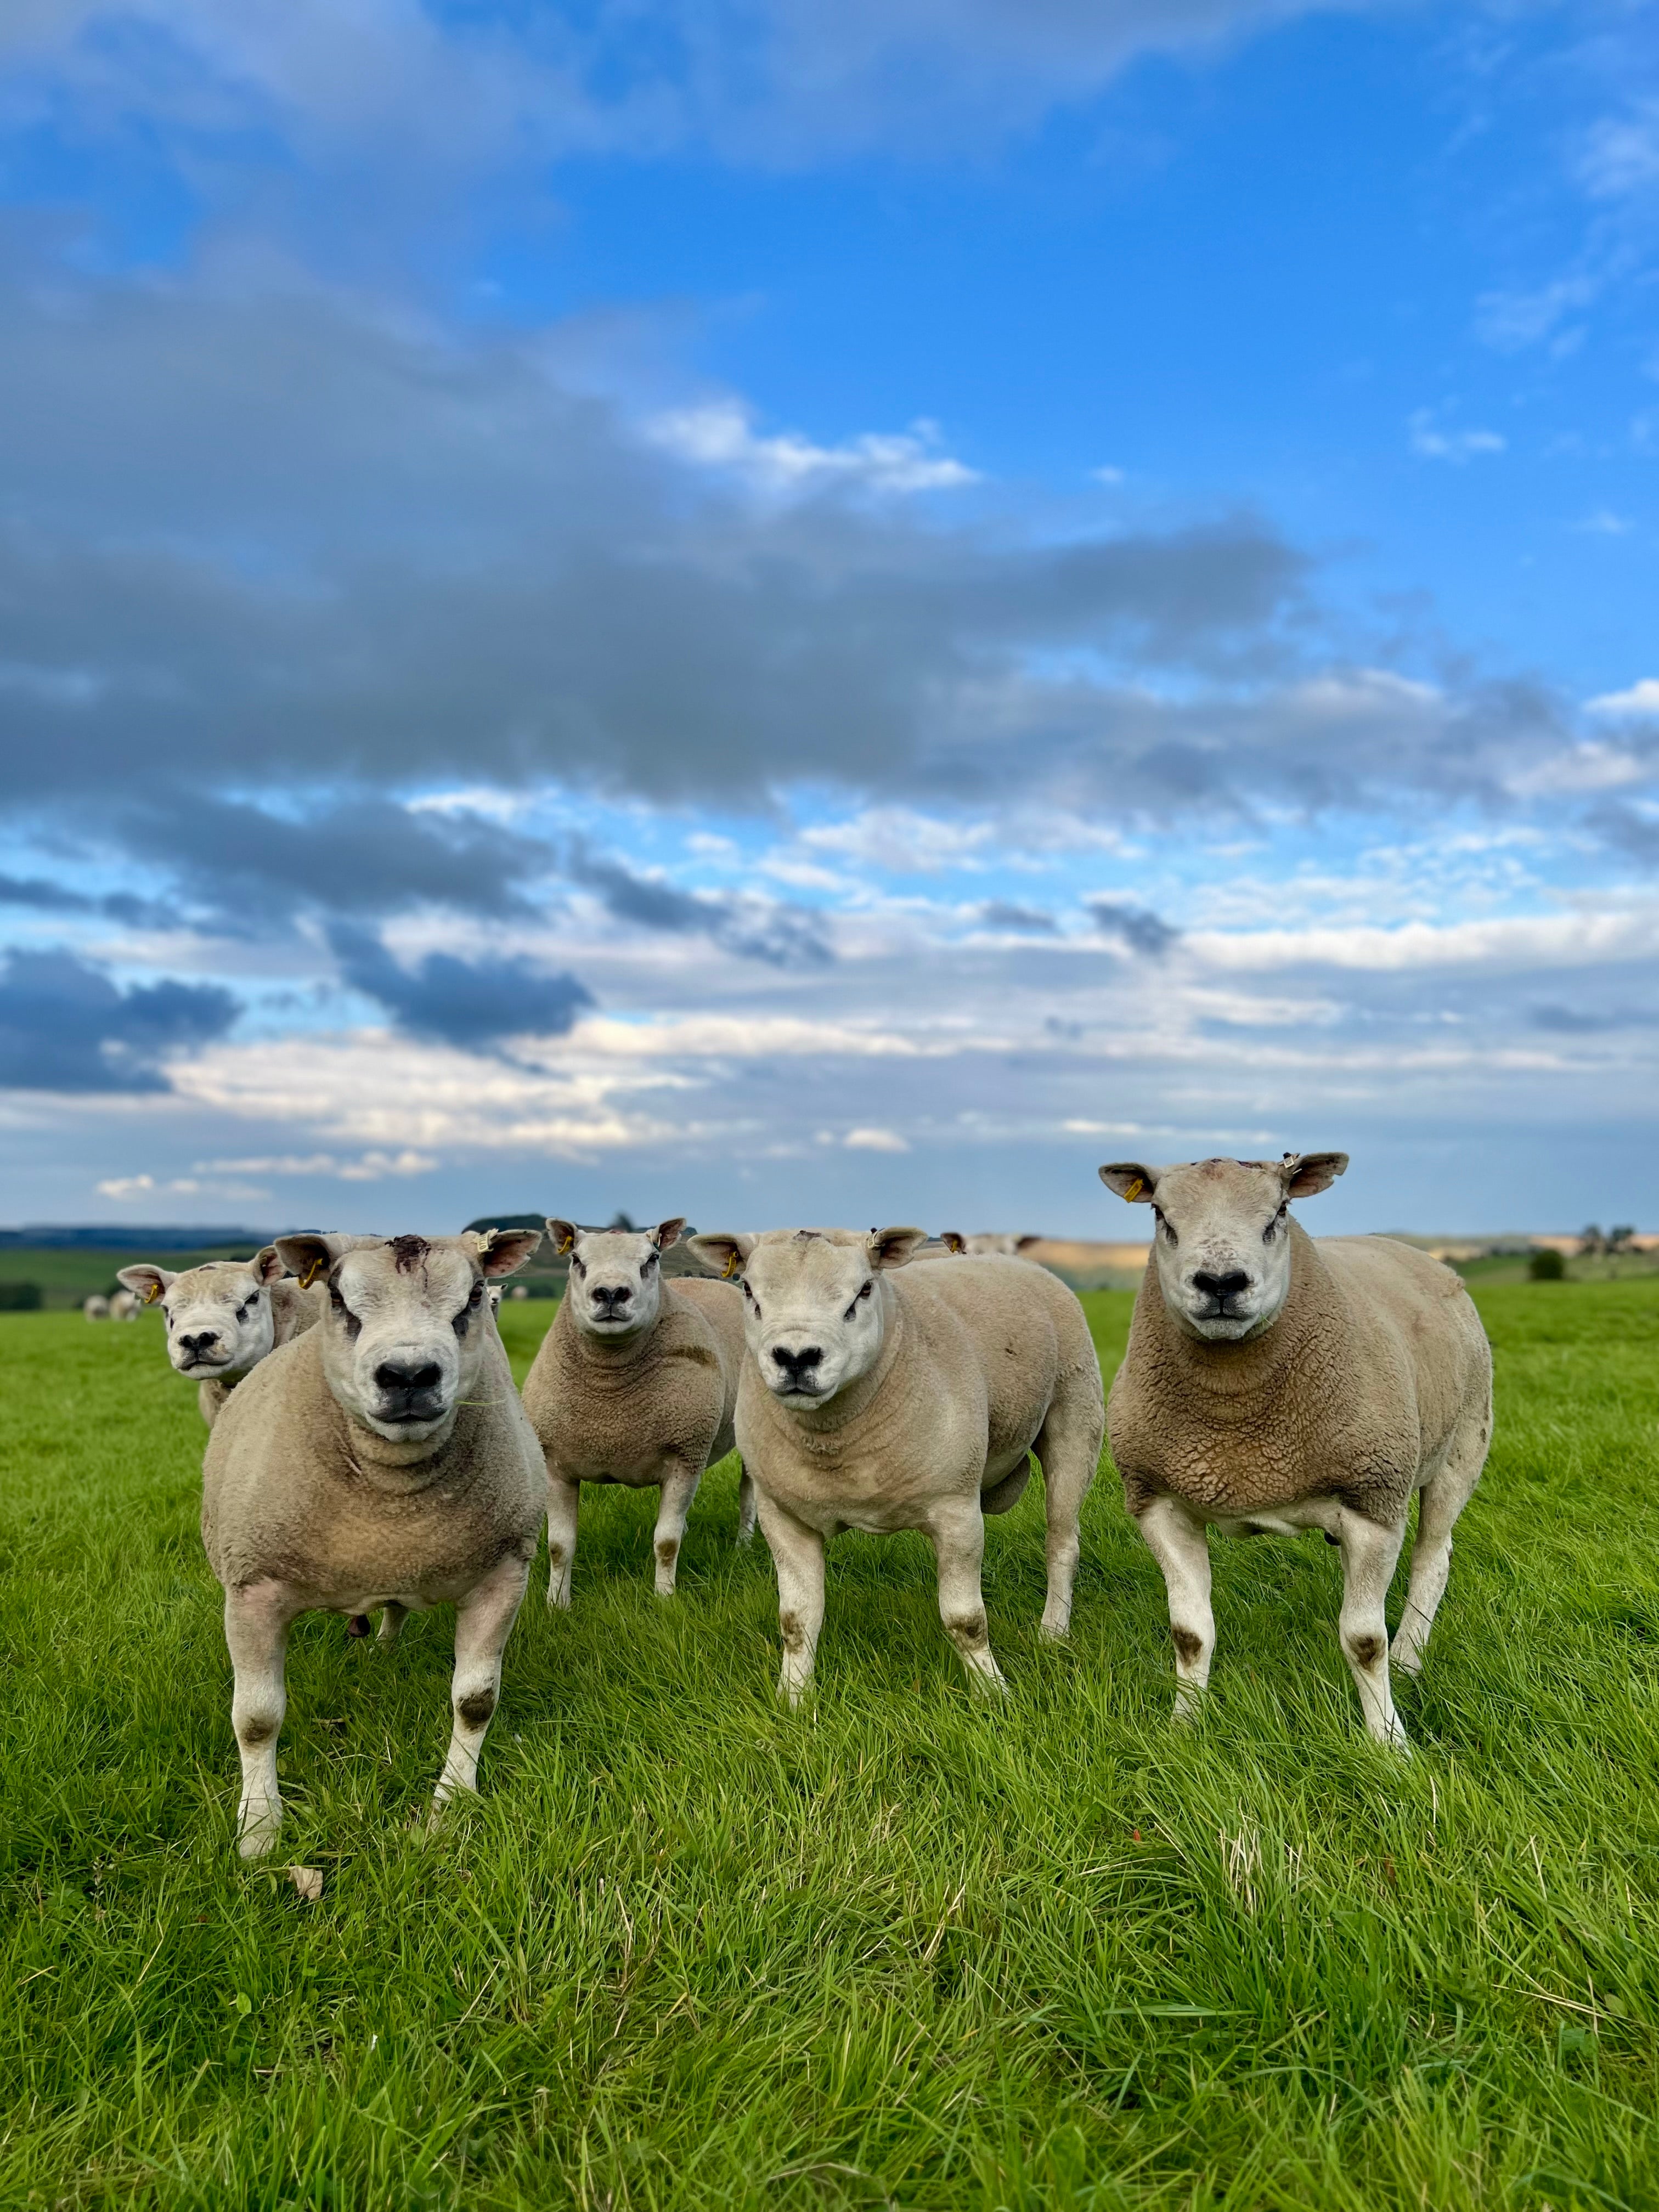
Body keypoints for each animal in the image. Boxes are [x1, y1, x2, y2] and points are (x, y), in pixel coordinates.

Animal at [201, 1226, 544, 1856]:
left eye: (474, 1297)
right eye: (338, 1299)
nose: (408, 1374)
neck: (391, 1494)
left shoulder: (504, 1573)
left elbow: (475, 1702)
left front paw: (451, 1806)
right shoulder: (251, 1589)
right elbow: (256, 1719)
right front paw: (259, 1831)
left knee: (395, 1608)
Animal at [521, 1217, 751, 1603]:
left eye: (652, 1258)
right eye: (576, 1259)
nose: (611, 1293)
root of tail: (710, 1281)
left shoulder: (685, 1457)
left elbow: (666, 1543)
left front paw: (664, 1600)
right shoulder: (554, 1464)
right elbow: (558, 1546)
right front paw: (556, 1604)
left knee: (749, 1494)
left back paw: (743, 1547)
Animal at [685, 1226, 1105, 1703]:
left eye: (864, 1290)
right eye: (749, 1291)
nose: (795, 1357)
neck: (838, 1444)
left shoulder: (957, 1511)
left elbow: (966, 1620)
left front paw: (993, 1695)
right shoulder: (782, 1515)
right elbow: (796, 1620)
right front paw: (793, 1700)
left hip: (1076, 1418)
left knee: (1062, 1542)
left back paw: (1053, 1631)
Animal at [1099, 1152, 1492, 1753]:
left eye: (1280, 1212)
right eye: (1160, 1215)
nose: (1221, 1282)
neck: (1236, 1414)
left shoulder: (1375, 1501)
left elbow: (1364, 1640)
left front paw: (1389, 1745)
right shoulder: (1157, 1502)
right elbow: (1190, 1635)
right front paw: (1183, 1729)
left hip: (1461, 1450)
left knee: (1433, 1557)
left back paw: (1409, 1658)